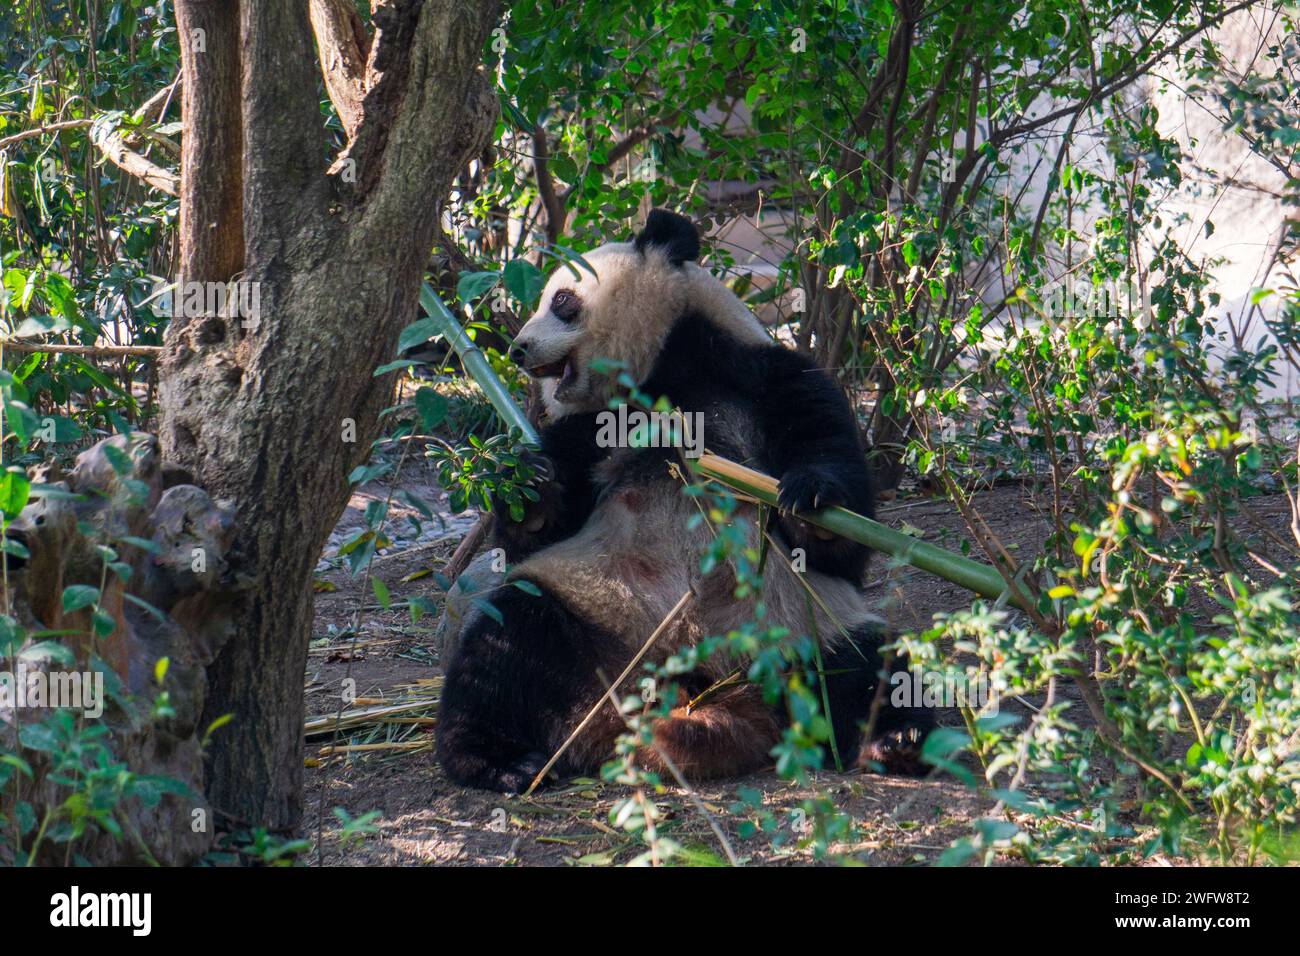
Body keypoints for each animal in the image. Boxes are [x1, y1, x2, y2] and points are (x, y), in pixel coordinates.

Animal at [436, 209, 933, 792]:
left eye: (561, 300)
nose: (517, 348)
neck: (658, 378)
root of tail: (709, 692)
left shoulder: (764, 376)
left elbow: (840, 518)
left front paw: (811, 499)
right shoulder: (579, 430)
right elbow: (533, 533)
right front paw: (530, 487)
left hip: (798, 625)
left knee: (867, 663)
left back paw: (897, 740)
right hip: (593, 615)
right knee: (505, 641)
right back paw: (501, 761)